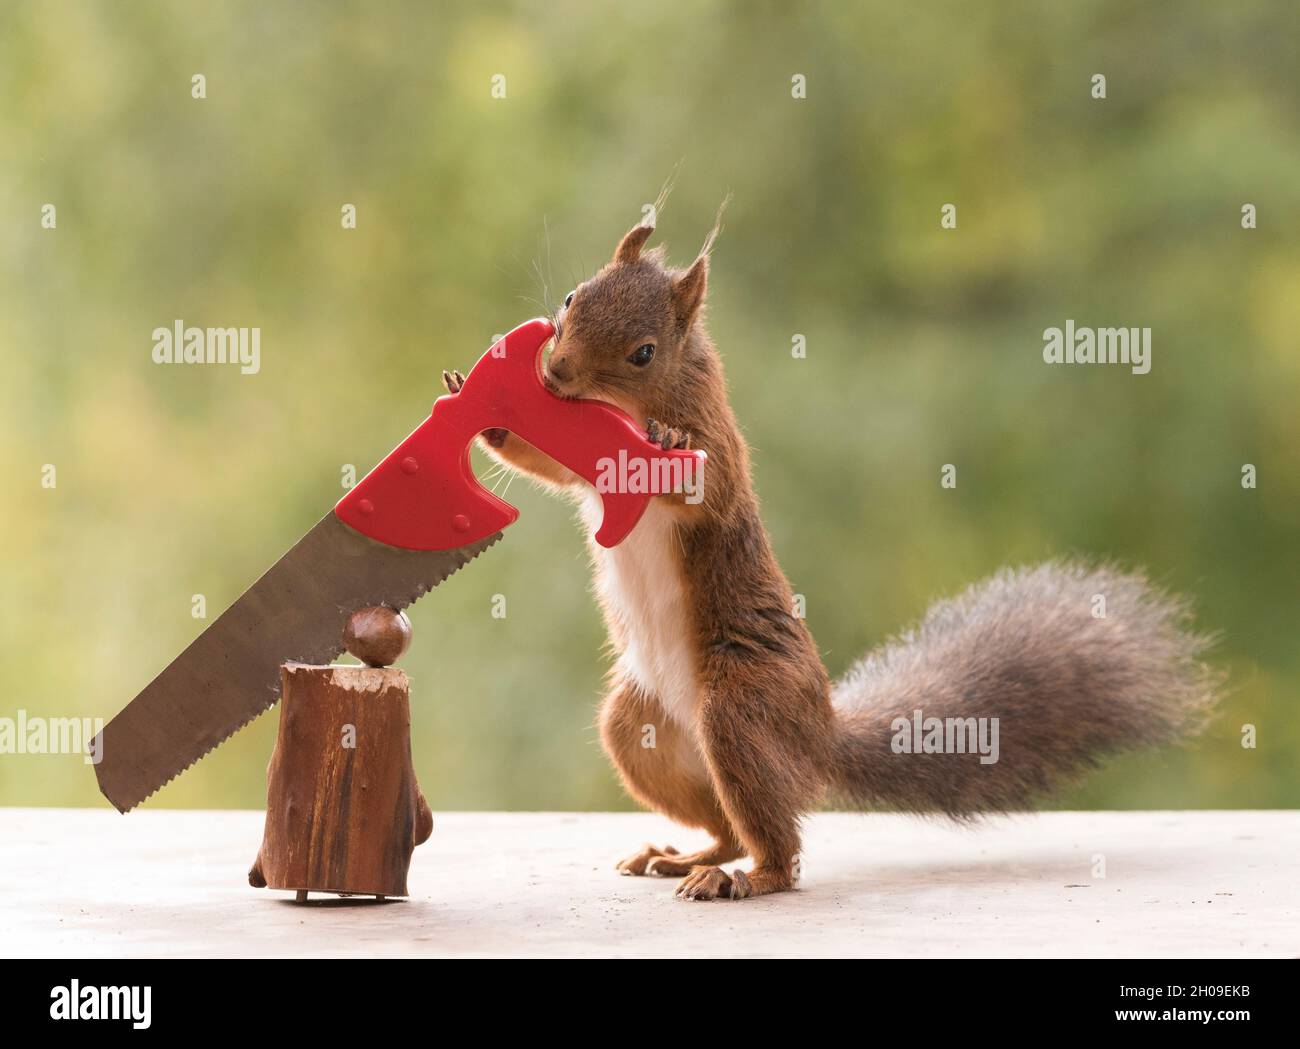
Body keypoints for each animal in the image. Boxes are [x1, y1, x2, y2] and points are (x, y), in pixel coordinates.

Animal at [443, 216, 1220, 901]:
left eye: (643, 352)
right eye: (573, 297)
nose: (556, 371)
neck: (633, 406)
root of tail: (817, 737)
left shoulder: (718, 448)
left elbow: (707, 489)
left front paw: (663, 441)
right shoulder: (582, 469)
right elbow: (545, 465)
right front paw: (477, 407)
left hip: (741, 709)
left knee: (779, 847)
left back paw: (743, 878)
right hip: (643, 735)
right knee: (729, 825)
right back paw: (685, 856)